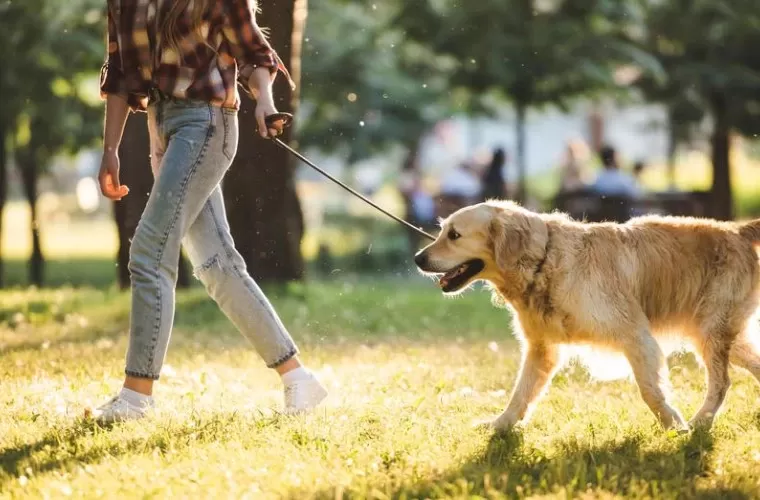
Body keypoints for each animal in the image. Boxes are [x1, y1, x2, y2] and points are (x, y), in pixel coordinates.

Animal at [412, 201, 760, 432]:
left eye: (454, 235)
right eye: (442, 231)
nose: (417, 258)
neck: (543, 261)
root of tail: (737, 229)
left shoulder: (636, 336)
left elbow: (650, 390)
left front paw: (673, 425)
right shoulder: (542, 349)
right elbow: (520, 394)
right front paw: (500, 426)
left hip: (711, 331)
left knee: (721, 383)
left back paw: (700, 422)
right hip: (721, 336)